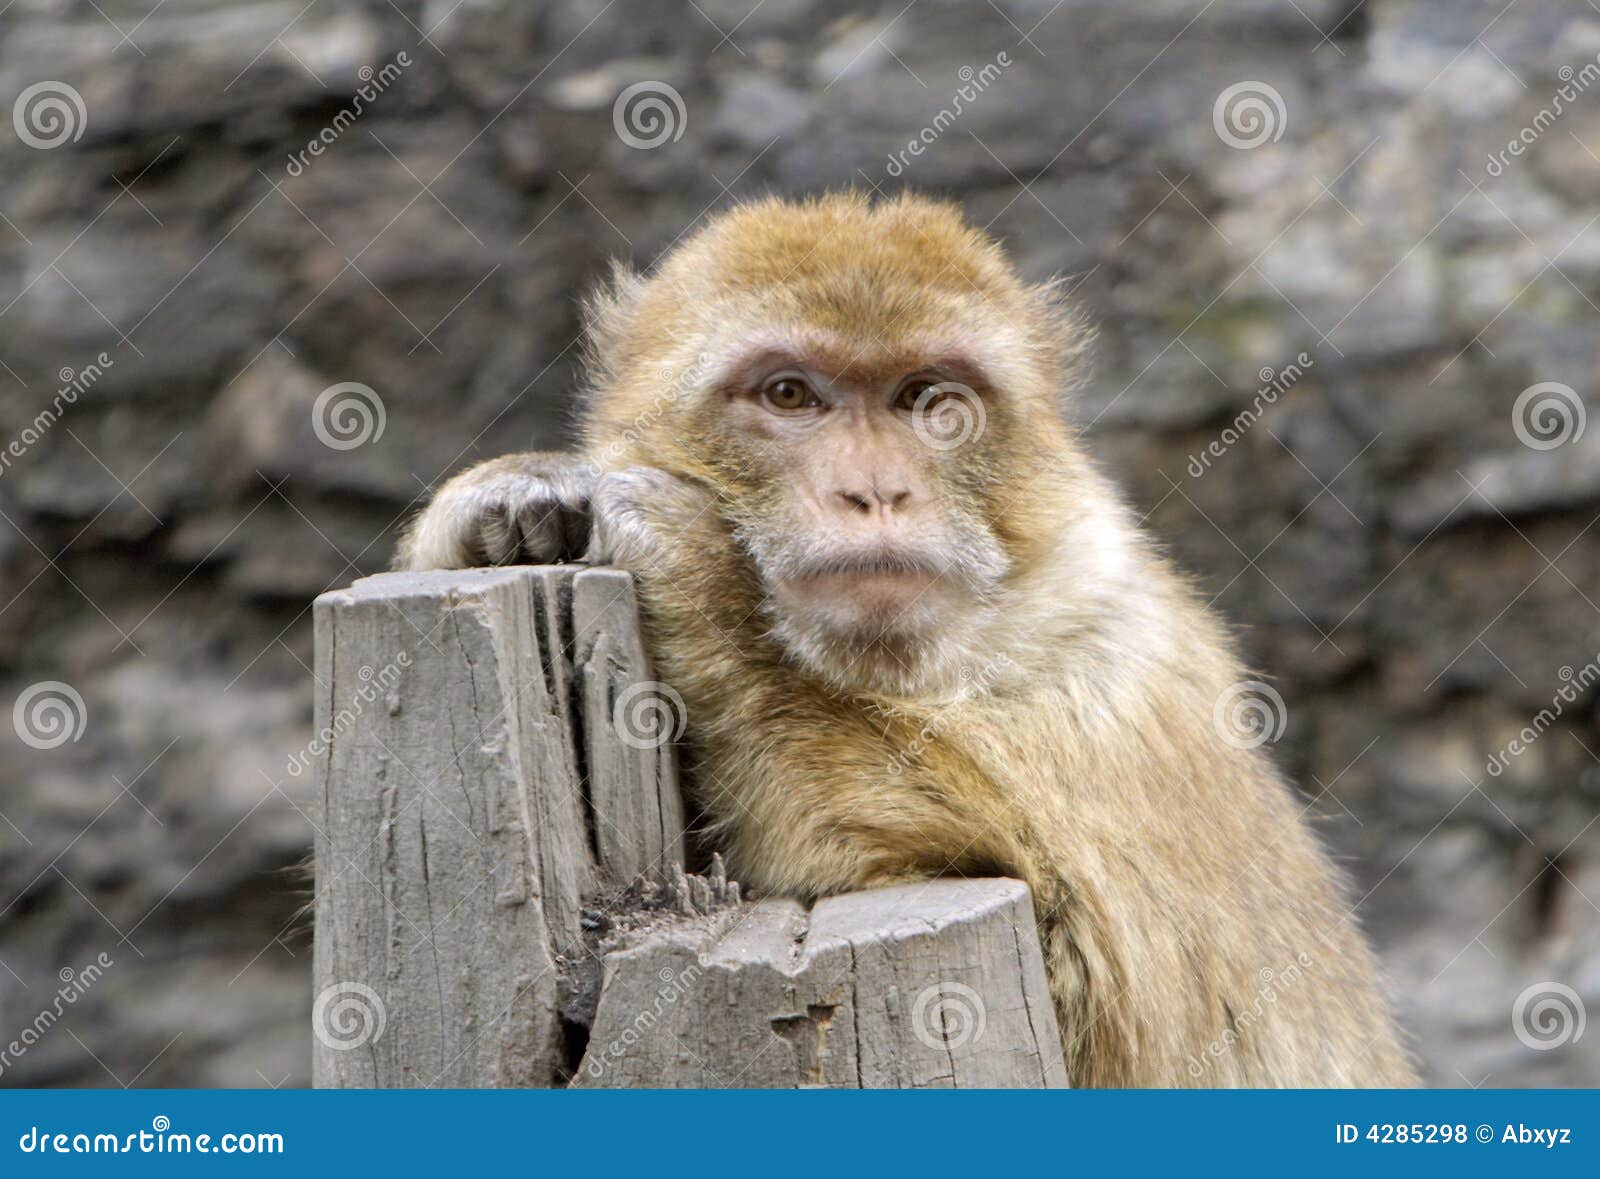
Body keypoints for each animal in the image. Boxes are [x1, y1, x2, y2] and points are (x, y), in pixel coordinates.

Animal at [397, 192, 1416, 1088]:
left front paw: (686, 562)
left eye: (929, 400)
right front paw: (503, 503)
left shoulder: (1122, 673)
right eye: (790, 394)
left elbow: (1086, 975)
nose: (876, 491)